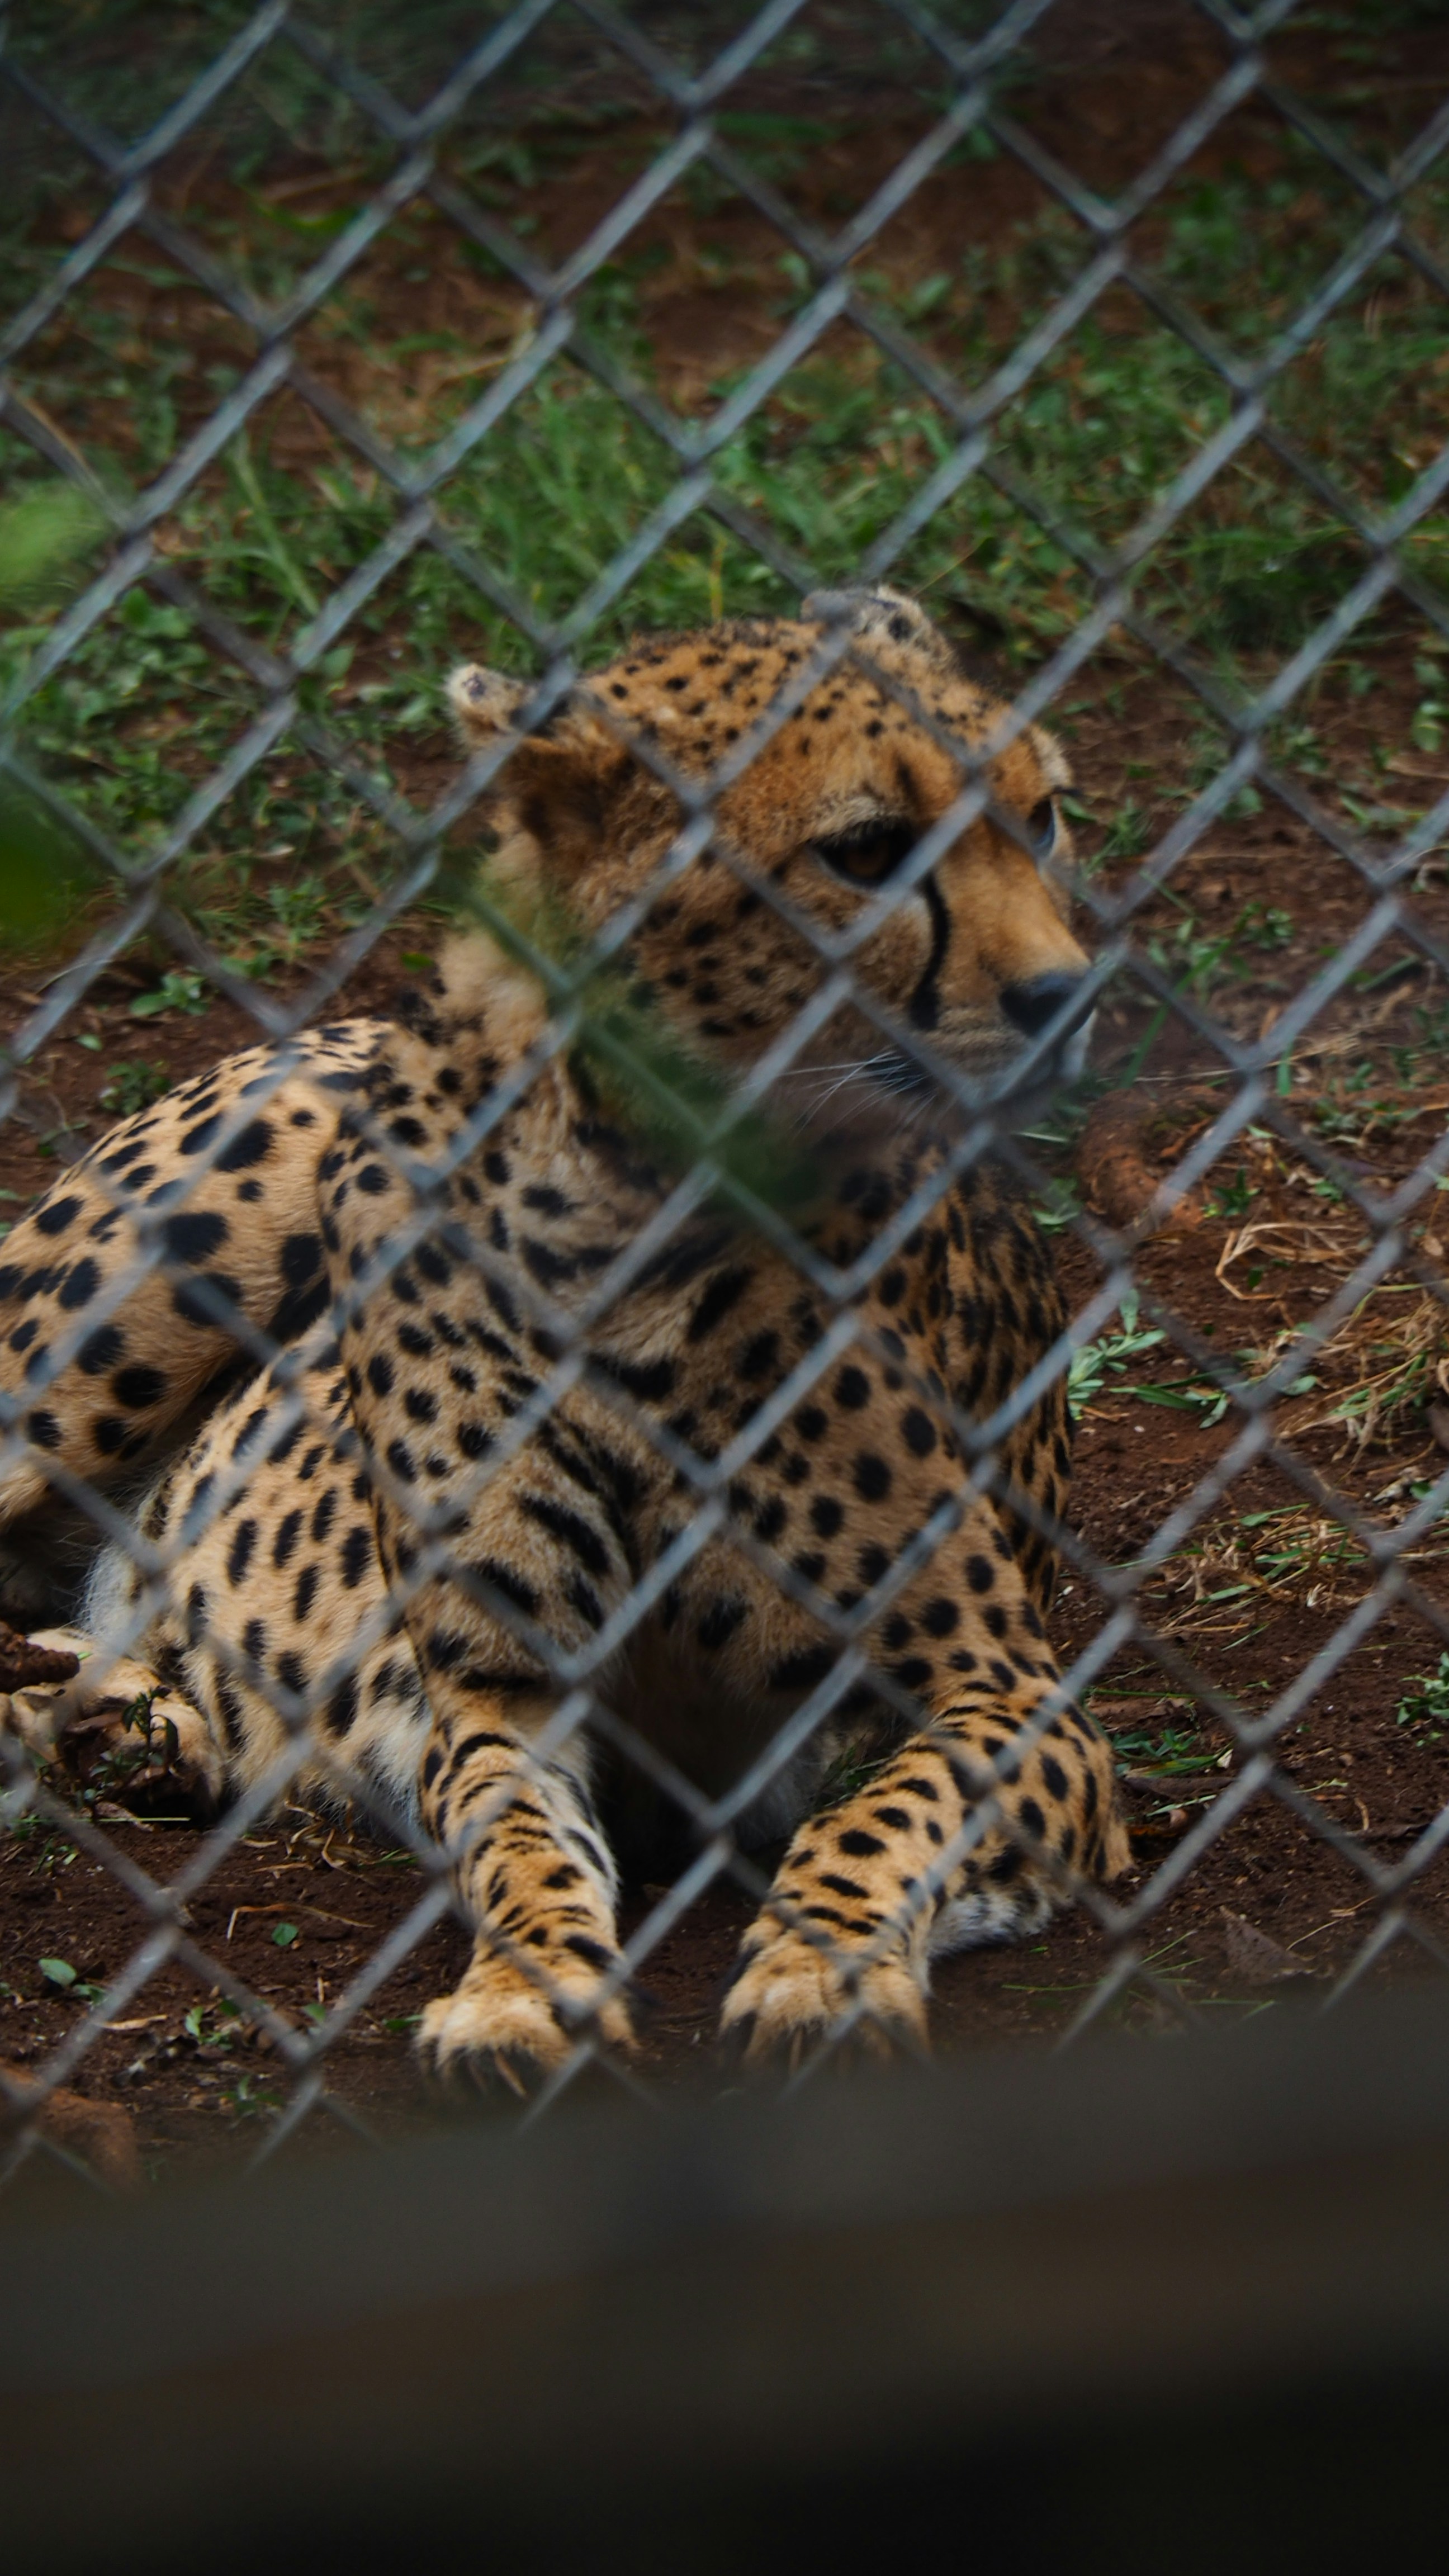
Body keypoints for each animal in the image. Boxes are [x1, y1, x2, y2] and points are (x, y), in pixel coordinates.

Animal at [0, 585, 1129, 2086]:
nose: (1067, 996)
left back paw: (131, 1736)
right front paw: (519, 1994)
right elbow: (515, 1840)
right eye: (866, 849)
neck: (629, 1216)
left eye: (1043, 817)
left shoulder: (1009, 1694)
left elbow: (886, 1814)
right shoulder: (502, 1688)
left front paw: (820, 1973)